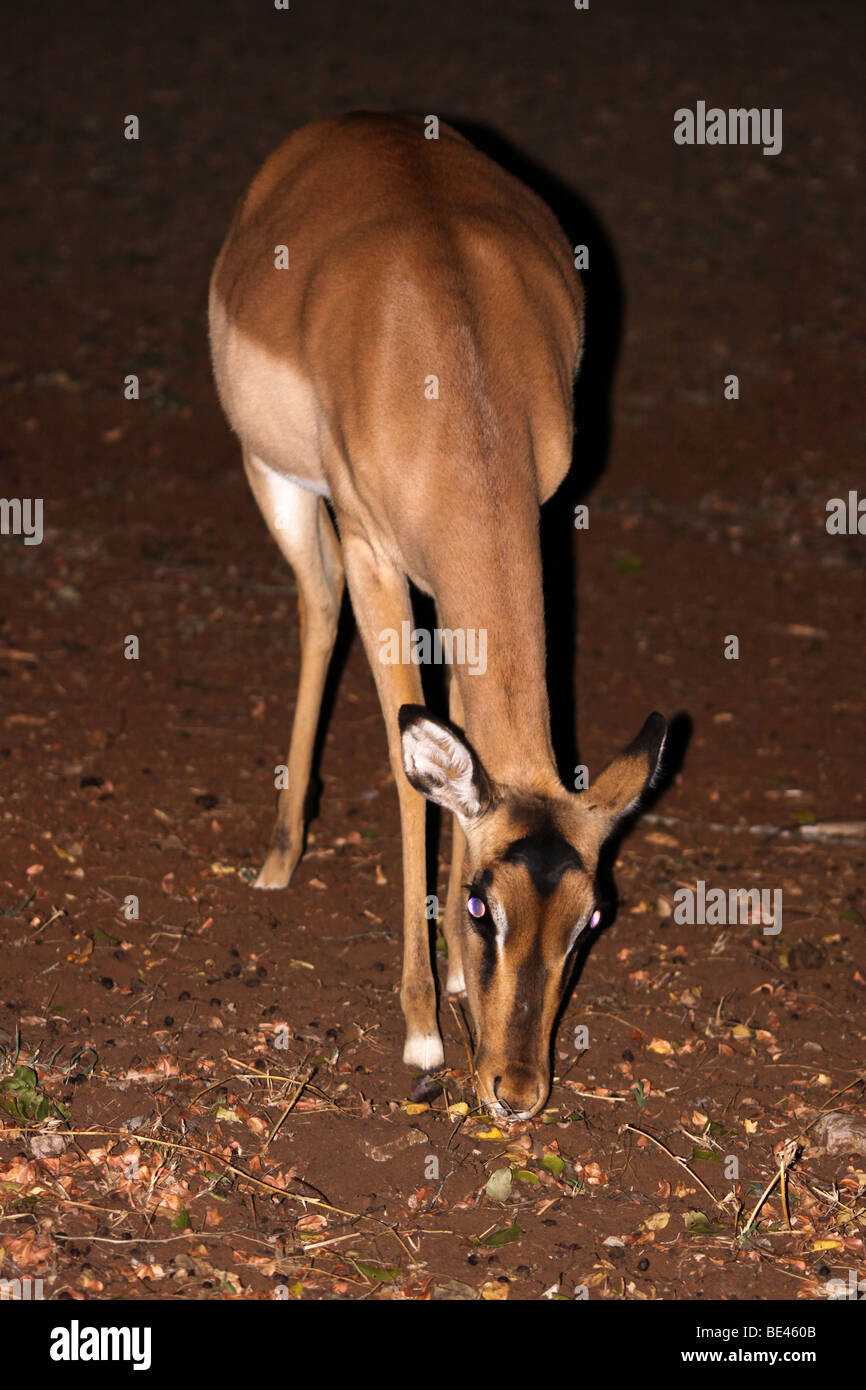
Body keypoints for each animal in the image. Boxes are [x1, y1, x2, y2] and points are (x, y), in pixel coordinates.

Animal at [209, 113, 666, 1122]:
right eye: (484, 907)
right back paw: (279, 855)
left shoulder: (518, 531)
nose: (515, 1090)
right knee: (317, 604)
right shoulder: (375, 549)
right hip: (278, 483)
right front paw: (423, 1028)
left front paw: (456, 987)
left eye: (590, 917)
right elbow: (408, 769)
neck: (458, 372)